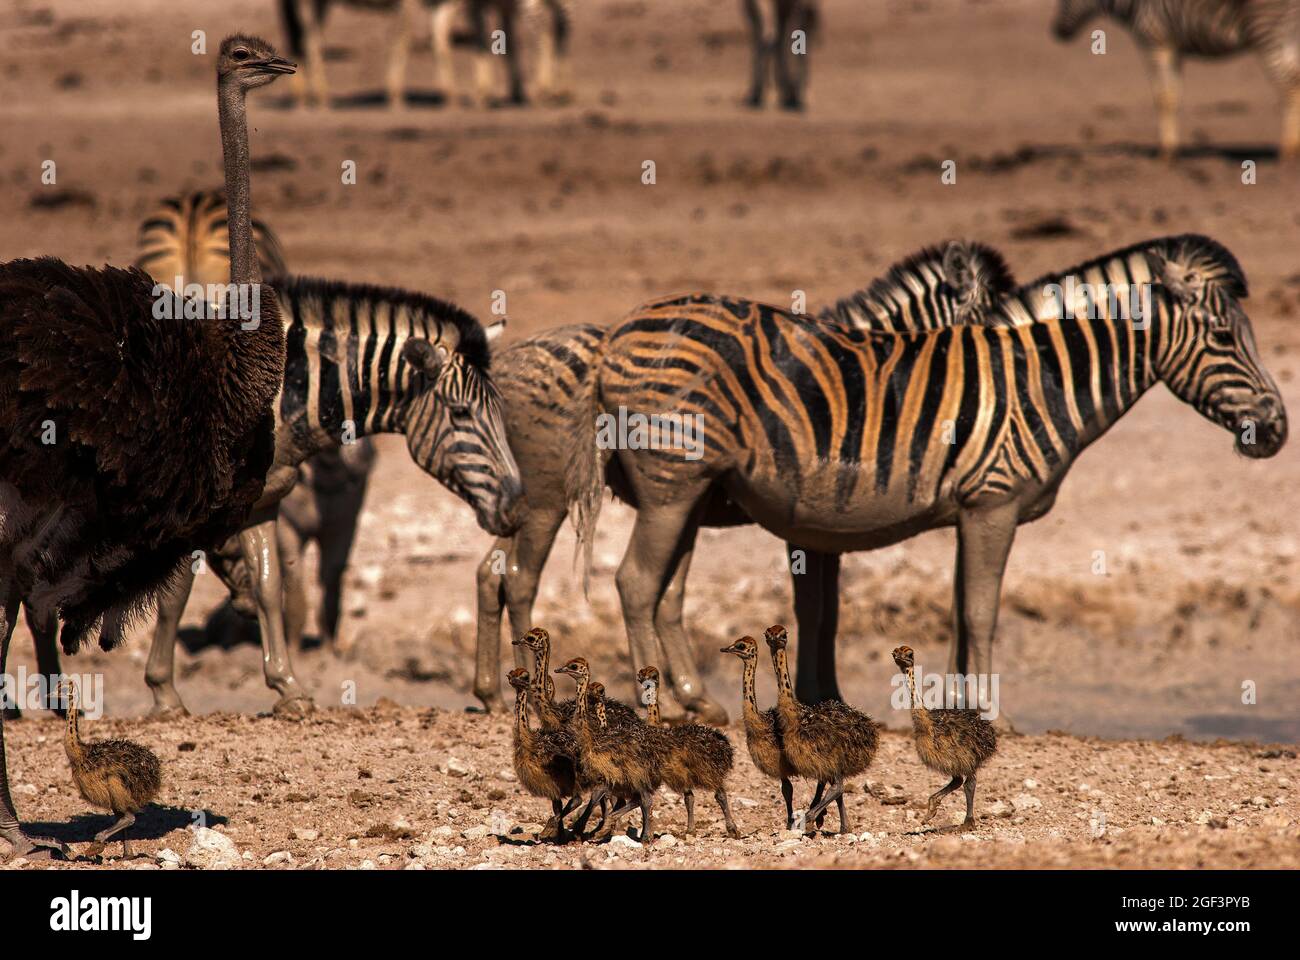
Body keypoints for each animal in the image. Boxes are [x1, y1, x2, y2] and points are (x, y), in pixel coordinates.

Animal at [470, 242, 1015, 718]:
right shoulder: (813, 523)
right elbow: (818, 611)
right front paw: (822, 694)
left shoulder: (817, 528)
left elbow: (820, 611)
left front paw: (822, 694)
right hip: (553, 496)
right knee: (533, 579)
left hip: (538, 501)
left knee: (495, 574)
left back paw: (499, 691)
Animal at [568, 235, 1287, 728]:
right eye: (1223, 337)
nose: (1277, 429)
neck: (1041, 378)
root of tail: (621, 329)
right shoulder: (993, 503)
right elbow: (980, 610)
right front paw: (993, 713)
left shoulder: (970, 509)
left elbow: (956, 611)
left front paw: (959, 706)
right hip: (671, 483)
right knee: (636, 583)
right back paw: (663, 706)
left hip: (685, 489)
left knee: (660, 589)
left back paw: (692, 702)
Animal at [1052, 0, 1300, 159]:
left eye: (1064, 0)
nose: (1056, 31)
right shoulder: (1174, 49)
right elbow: (1175, 95)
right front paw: (1173, 146)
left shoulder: (1153, 40)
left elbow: (1163, 97)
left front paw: (1166, 152)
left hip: (1265, 27)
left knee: (1287, 85)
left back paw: (1287, 149)